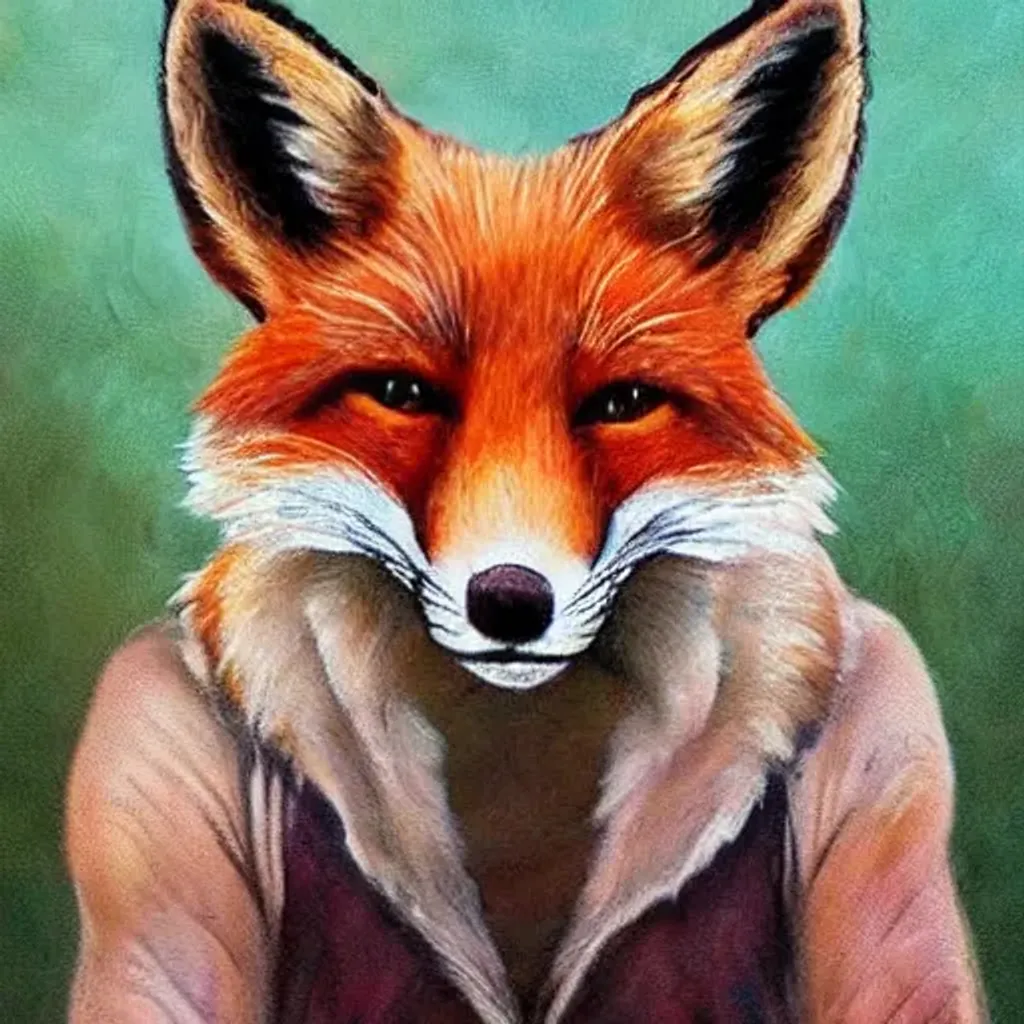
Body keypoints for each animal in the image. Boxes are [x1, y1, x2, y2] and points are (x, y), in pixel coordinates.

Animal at [65, 0, 986, 1021]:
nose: (511, 600)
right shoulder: (148, 722)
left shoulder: (889, 728)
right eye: (403, 392)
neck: (514, 737)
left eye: (623, 403)